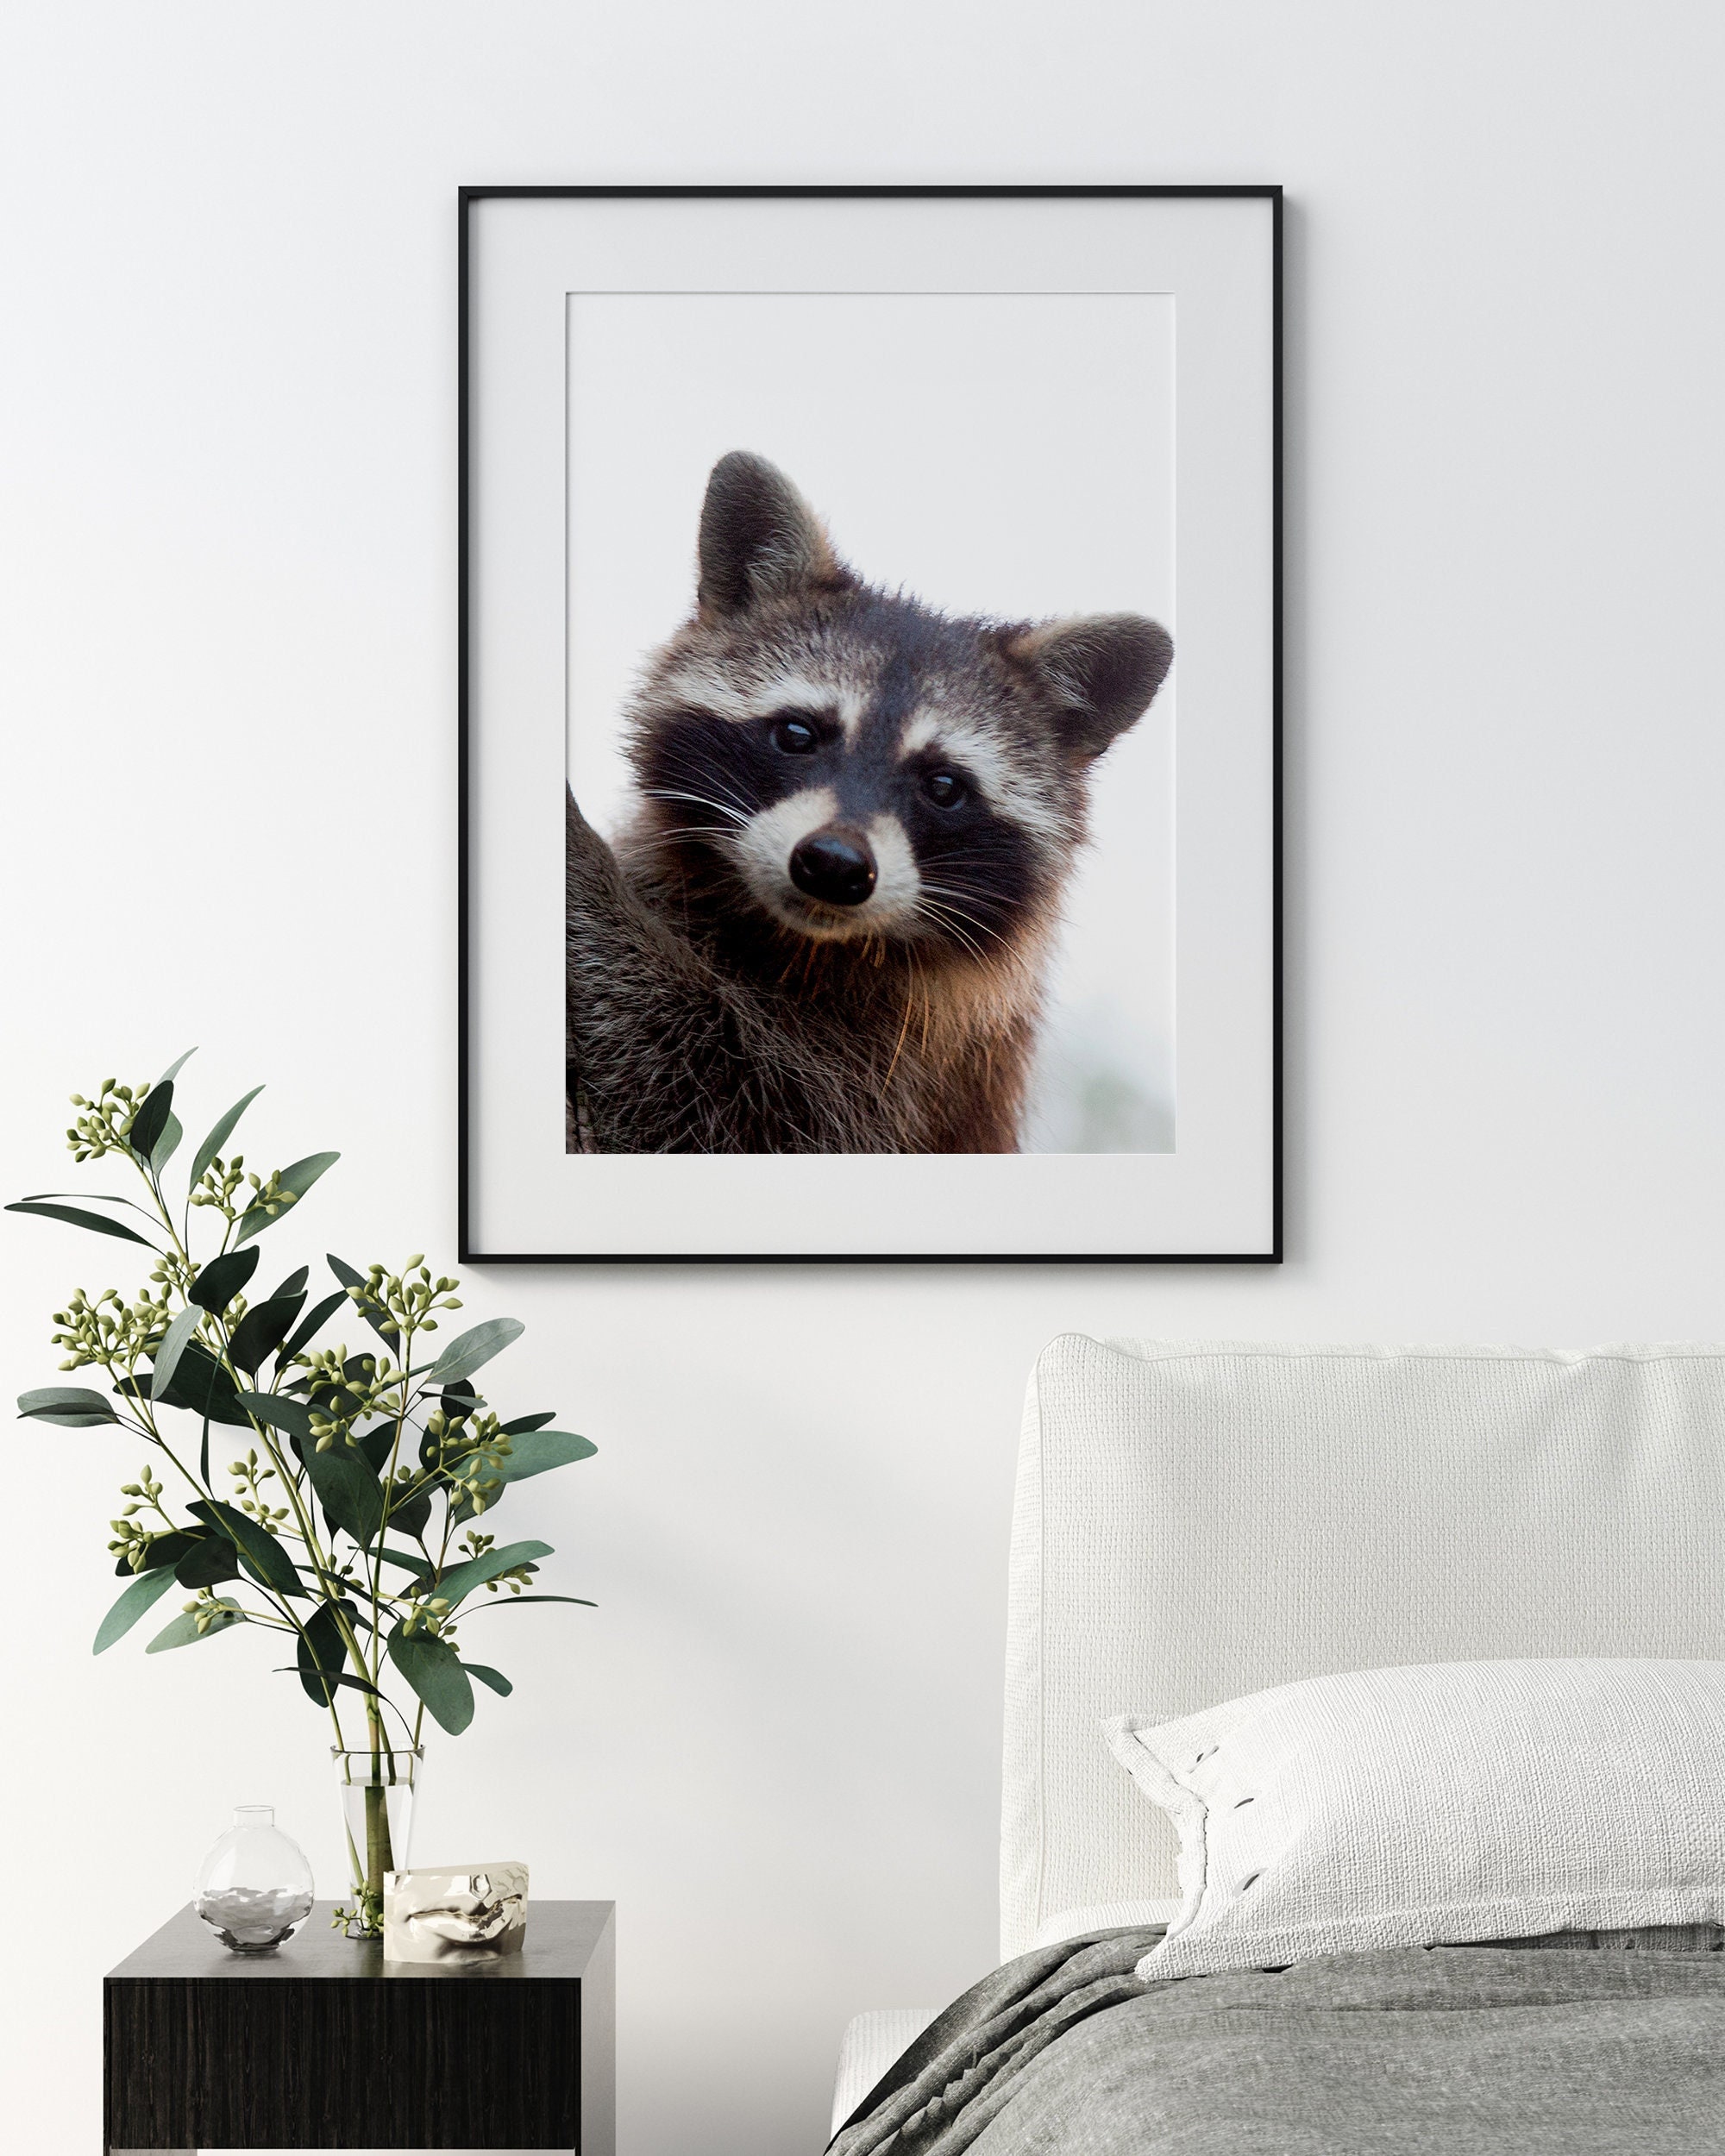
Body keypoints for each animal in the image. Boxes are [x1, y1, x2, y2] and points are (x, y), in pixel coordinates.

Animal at [566, 451, 1172, 1154]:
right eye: (797, 734)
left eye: (944, 787)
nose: (834, 864)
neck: (796, 938)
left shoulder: (914, 1071)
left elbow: (716, 1093)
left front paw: (585, 870)